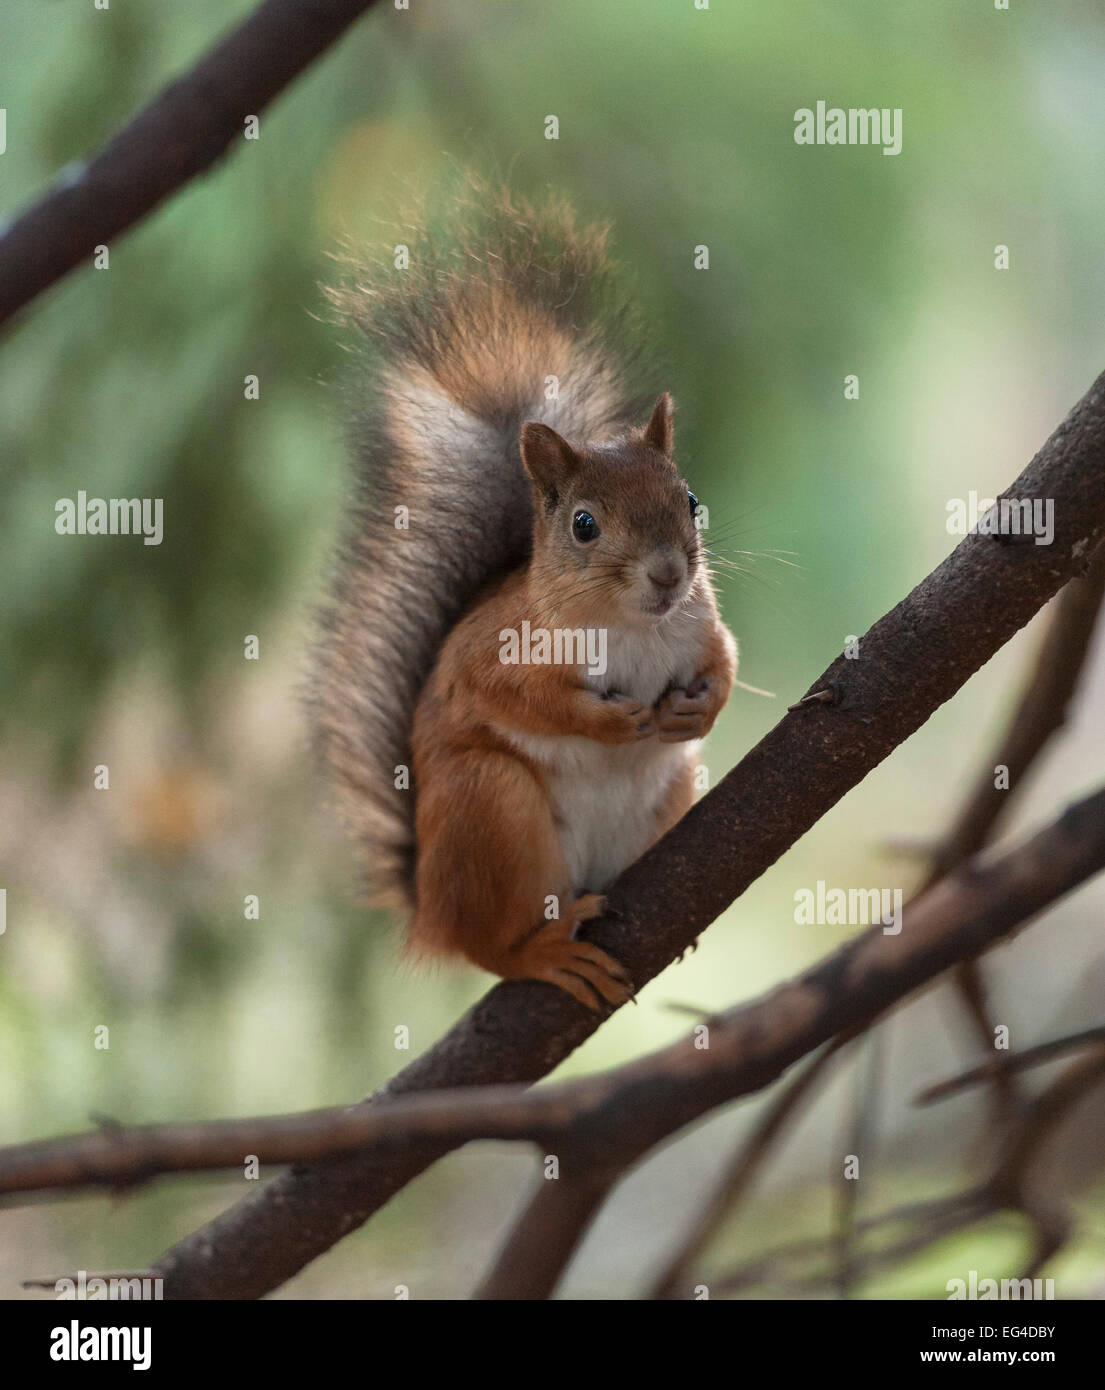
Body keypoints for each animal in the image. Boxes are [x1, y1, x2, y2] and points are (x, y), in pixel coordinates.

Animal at [312, 182, 737, 1011]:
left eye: (691, 500)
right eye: (583, 525)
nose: (668, 575)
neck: (632, 627)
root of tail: (430, 906)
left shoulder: (701, 628)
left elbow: (726, 661)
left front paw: (697, 708)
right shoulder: (495, 649)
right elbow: (509, 691)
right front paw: (602, 722)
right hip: (491, 805)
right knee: (489, 948)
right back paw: (538, 953)